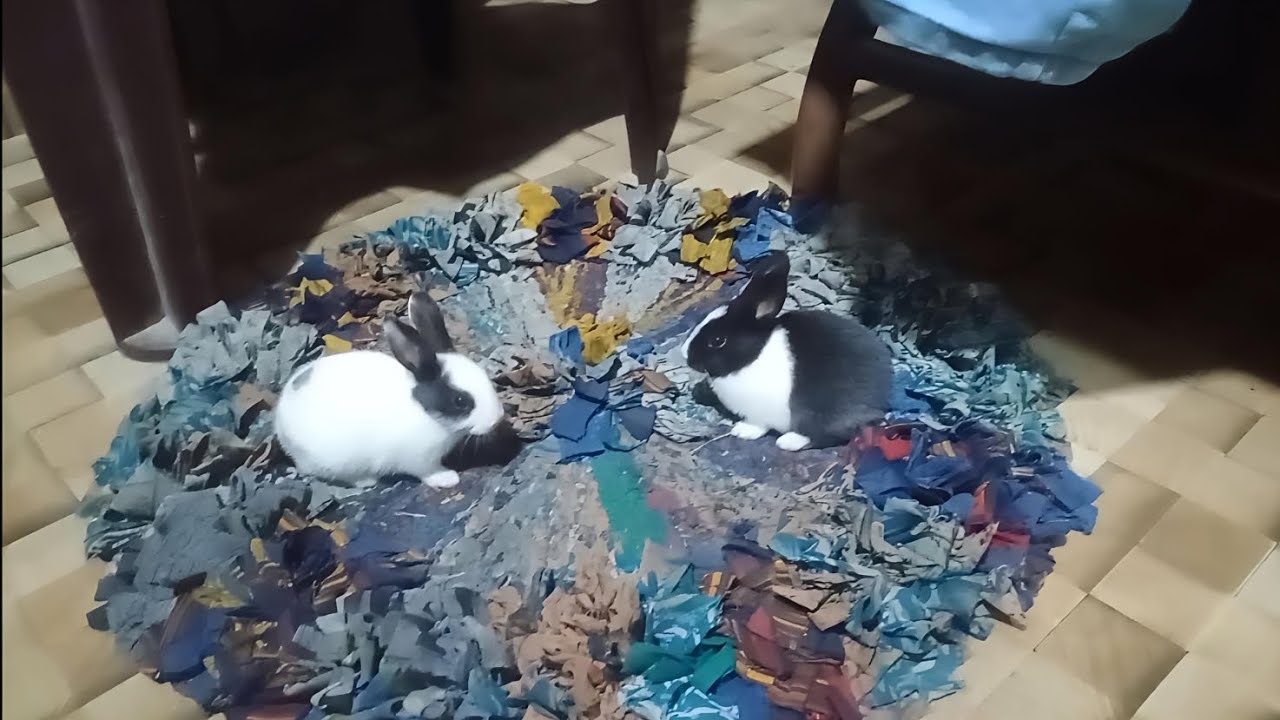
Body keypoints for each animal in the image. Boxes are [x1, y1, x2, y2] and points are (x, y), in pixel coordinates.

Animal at [274, 291, 521, 488]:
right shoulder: (420, 460)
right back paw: (367, 481)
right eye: (460, 401)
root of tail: (280, 427)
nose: (497, 418)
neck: (425, 412)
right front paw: (448, 479)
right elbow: (429, 472)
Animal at [681, 250, 892, 451]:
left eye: (718, 341)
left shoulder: (759, 415)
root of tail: (881, 399)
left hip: (820, 412)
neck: (754, 356)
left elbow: (758, 426)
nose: (685, 355)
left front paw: (741, 431)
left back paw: (788, 441)